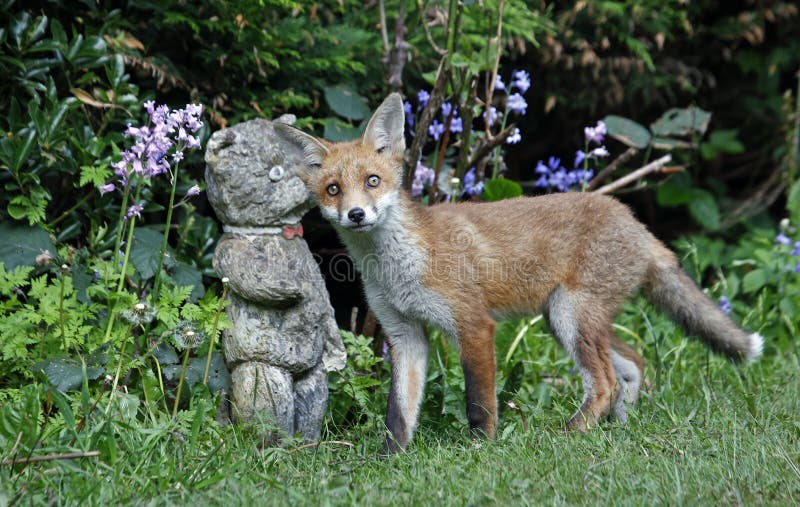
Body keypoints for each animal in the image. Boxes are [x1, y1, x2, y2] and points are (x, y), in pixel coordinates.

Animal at [276, 93, 764, 454]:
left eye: (373, 181)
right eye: (333, 189)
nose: (356, 215)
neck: (398, 268)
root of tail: (635, 222)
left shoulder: (473, 324)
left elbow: (479, 402)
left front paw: (481, 451)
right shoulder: (404, 334)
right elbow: (399, 413)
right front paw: (390, 459)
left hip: (569, 315)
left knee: (605, 382)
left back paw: (571, 435)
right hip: (565, 319)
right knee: (632, 365)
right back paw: (620, 428)